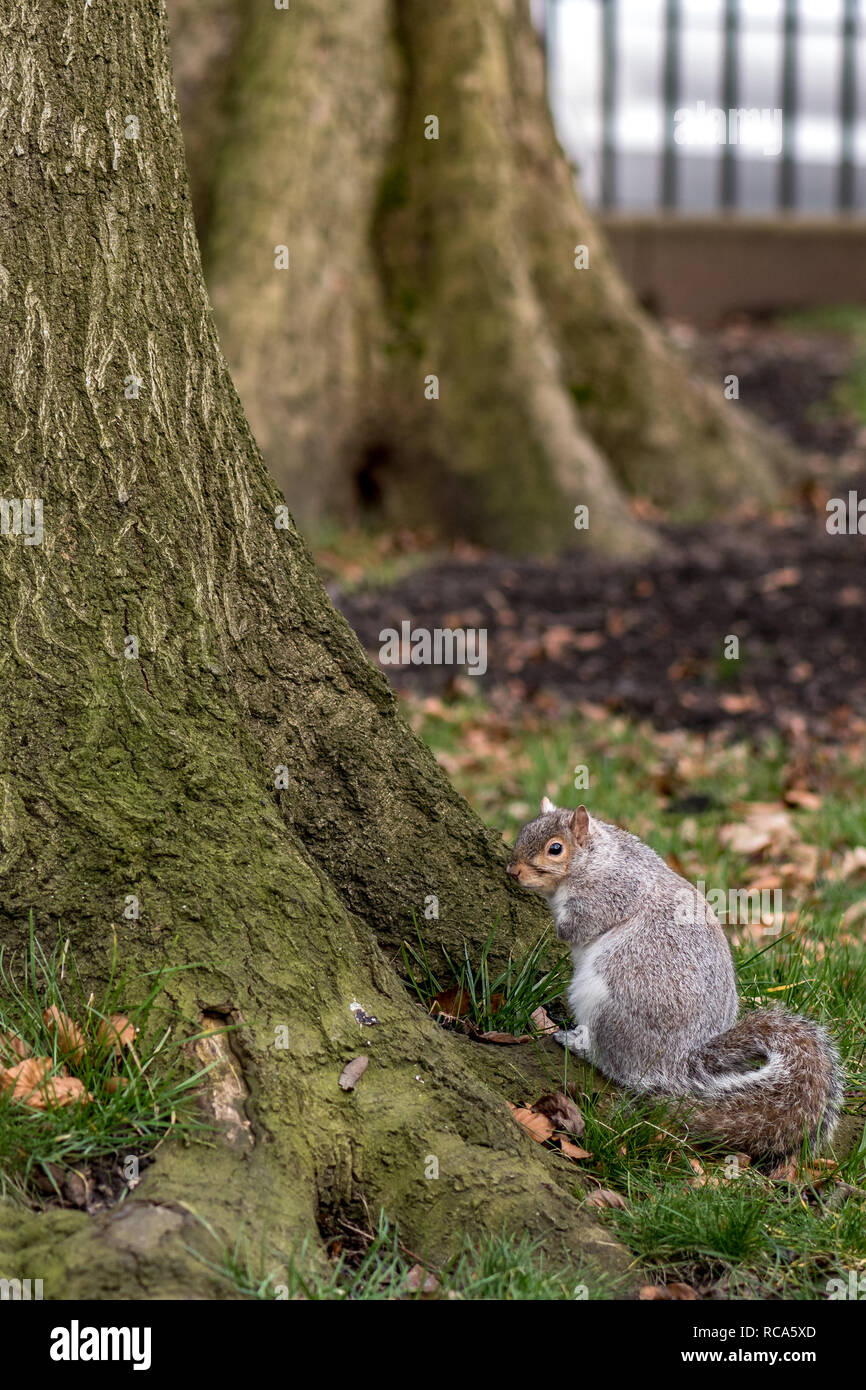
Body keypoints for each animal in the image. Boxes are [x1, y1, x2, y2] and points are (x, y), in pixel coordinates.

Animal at [507, 799, 842, 1161]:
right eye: (524, 830)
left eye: (555, 849)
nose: (513, 871)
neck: (597, 858)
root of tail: (680, 1059)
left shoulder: (607, 896)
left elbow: (576, 928)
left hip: (610, 1003)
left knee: (620, 1066)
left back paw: (581, 1044)